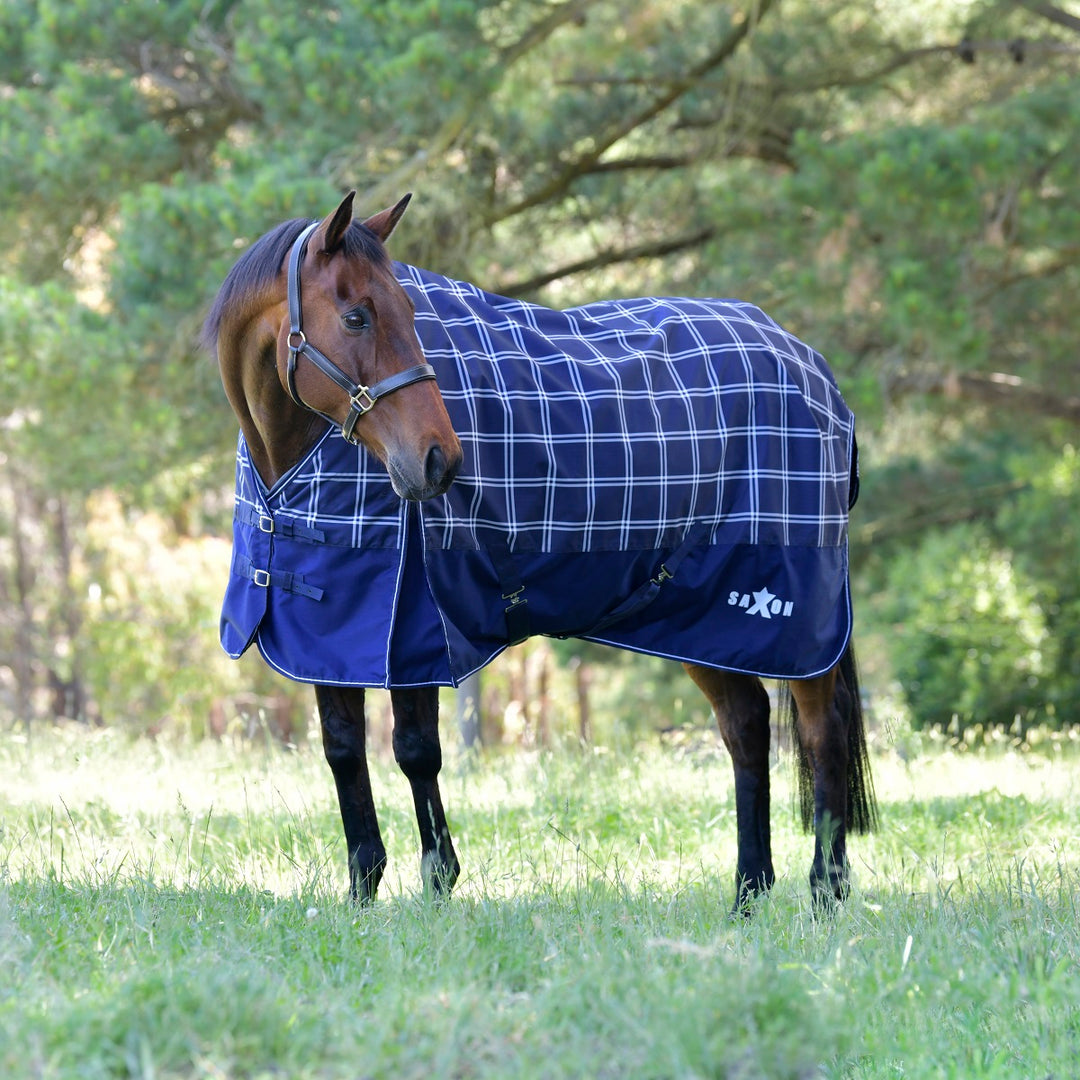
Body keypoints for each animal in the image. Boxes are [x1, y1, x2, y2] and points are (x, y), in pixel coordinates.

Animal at [203, 190, 876, 913]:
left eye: (411, 312)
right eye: (355, 316)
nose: (439, 461)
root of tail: (813, 368)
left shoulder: (411, 630)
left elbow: (415, 750)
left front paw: (437, 883)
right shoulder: (328, 629)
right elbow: (343, 751)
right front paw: (363, 889)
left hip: (794, 619)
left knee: (822, 729)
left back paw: (826, 892)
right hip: (702, 616)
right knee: (746, 727)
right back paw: (748, 894)